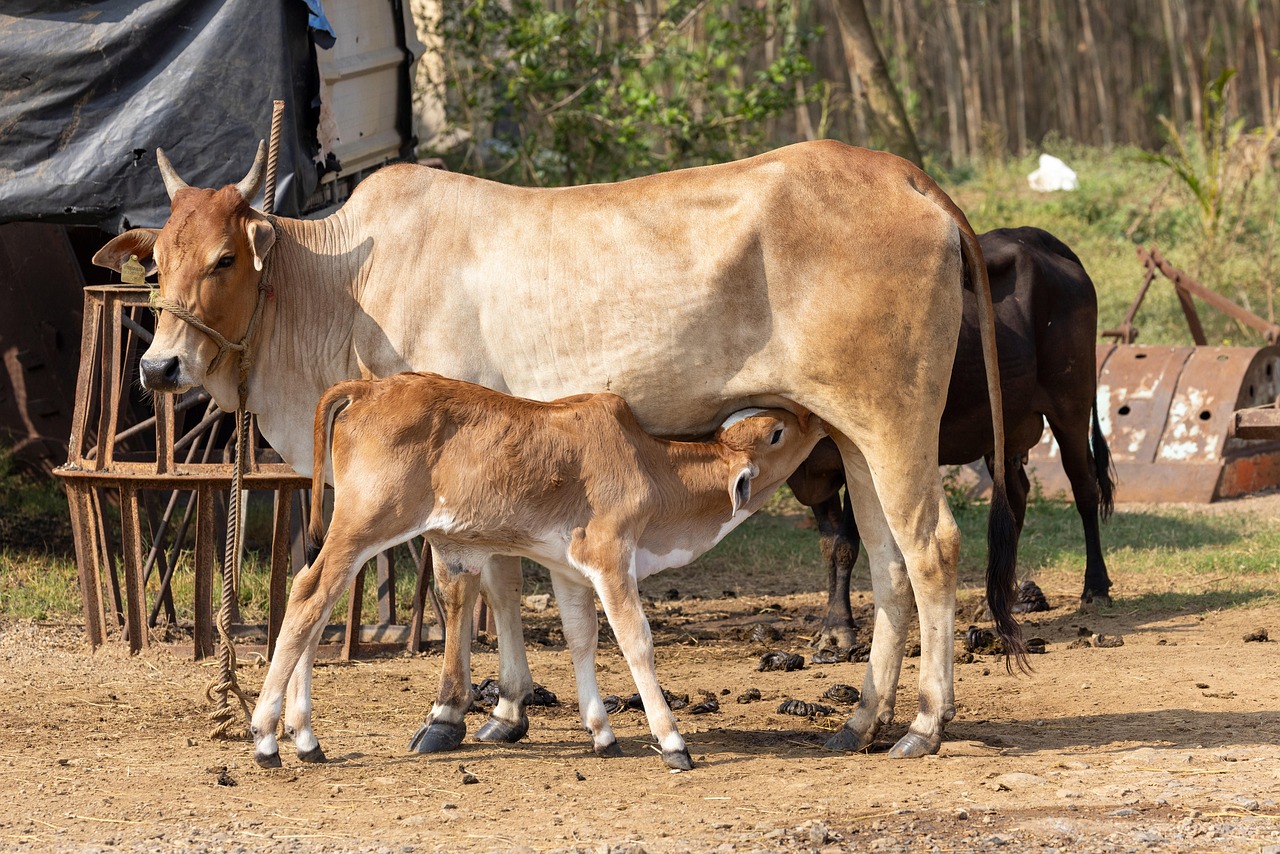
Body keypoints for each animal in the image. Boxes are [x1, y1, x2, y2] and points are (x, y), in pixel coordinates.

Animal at [249, 372, 826, 770]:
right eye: (776, 432)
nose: (811, 417)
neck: (652, 467)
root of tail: (367, 388)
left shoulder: (569, 568)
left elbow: (581, 637)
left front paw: (602, 733)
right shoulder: (611, 555)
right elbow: (636, 641)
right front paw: (672, 742)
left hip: (353, 533)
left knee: (315, 605)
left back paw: (305, 738)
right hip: (363, 525)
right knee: (307, 598)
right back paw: (267, 736)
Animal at [788, 226, 1115, 652]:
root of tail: (1034, 237)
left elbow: (846, 544)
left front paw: (839, 628)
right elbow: (828, 546)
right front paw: (832, 622)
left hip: (1071, 403)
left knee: (1084, 487)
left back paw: (1095, 588)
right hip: (1003, 430)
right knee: (1016, 496)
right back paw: (995, 601)